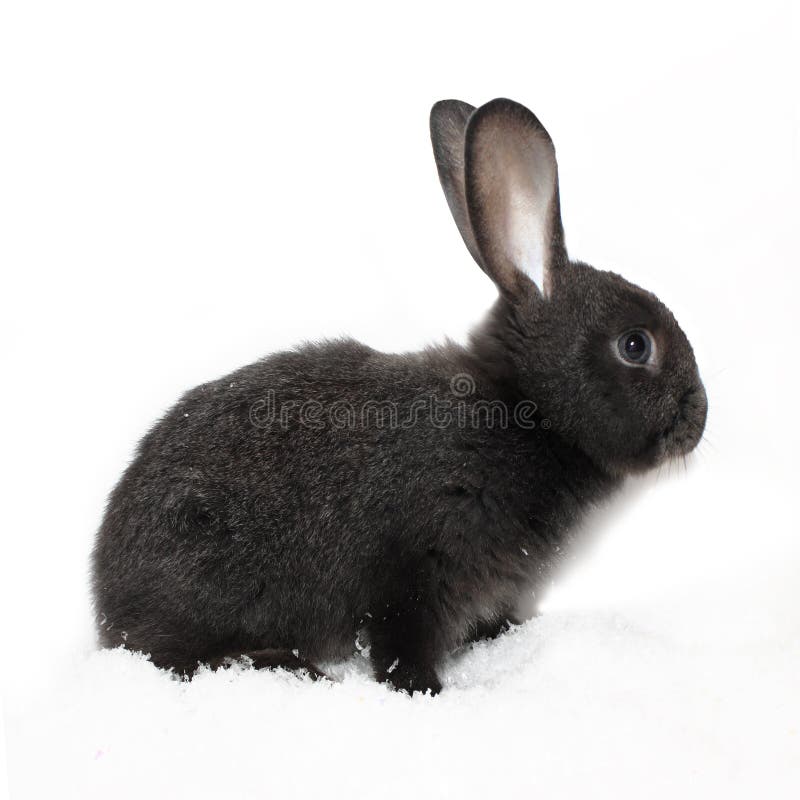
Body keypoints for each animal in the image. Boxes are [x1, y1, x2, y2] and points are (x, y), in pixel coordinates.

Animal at [92, 97, 707, 695]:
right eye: (635, 345)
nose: (699, 414)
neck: (525, 409)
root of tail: (107, 608)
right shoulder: (419, 563)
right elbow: (401, 641)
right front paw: (426, 690)